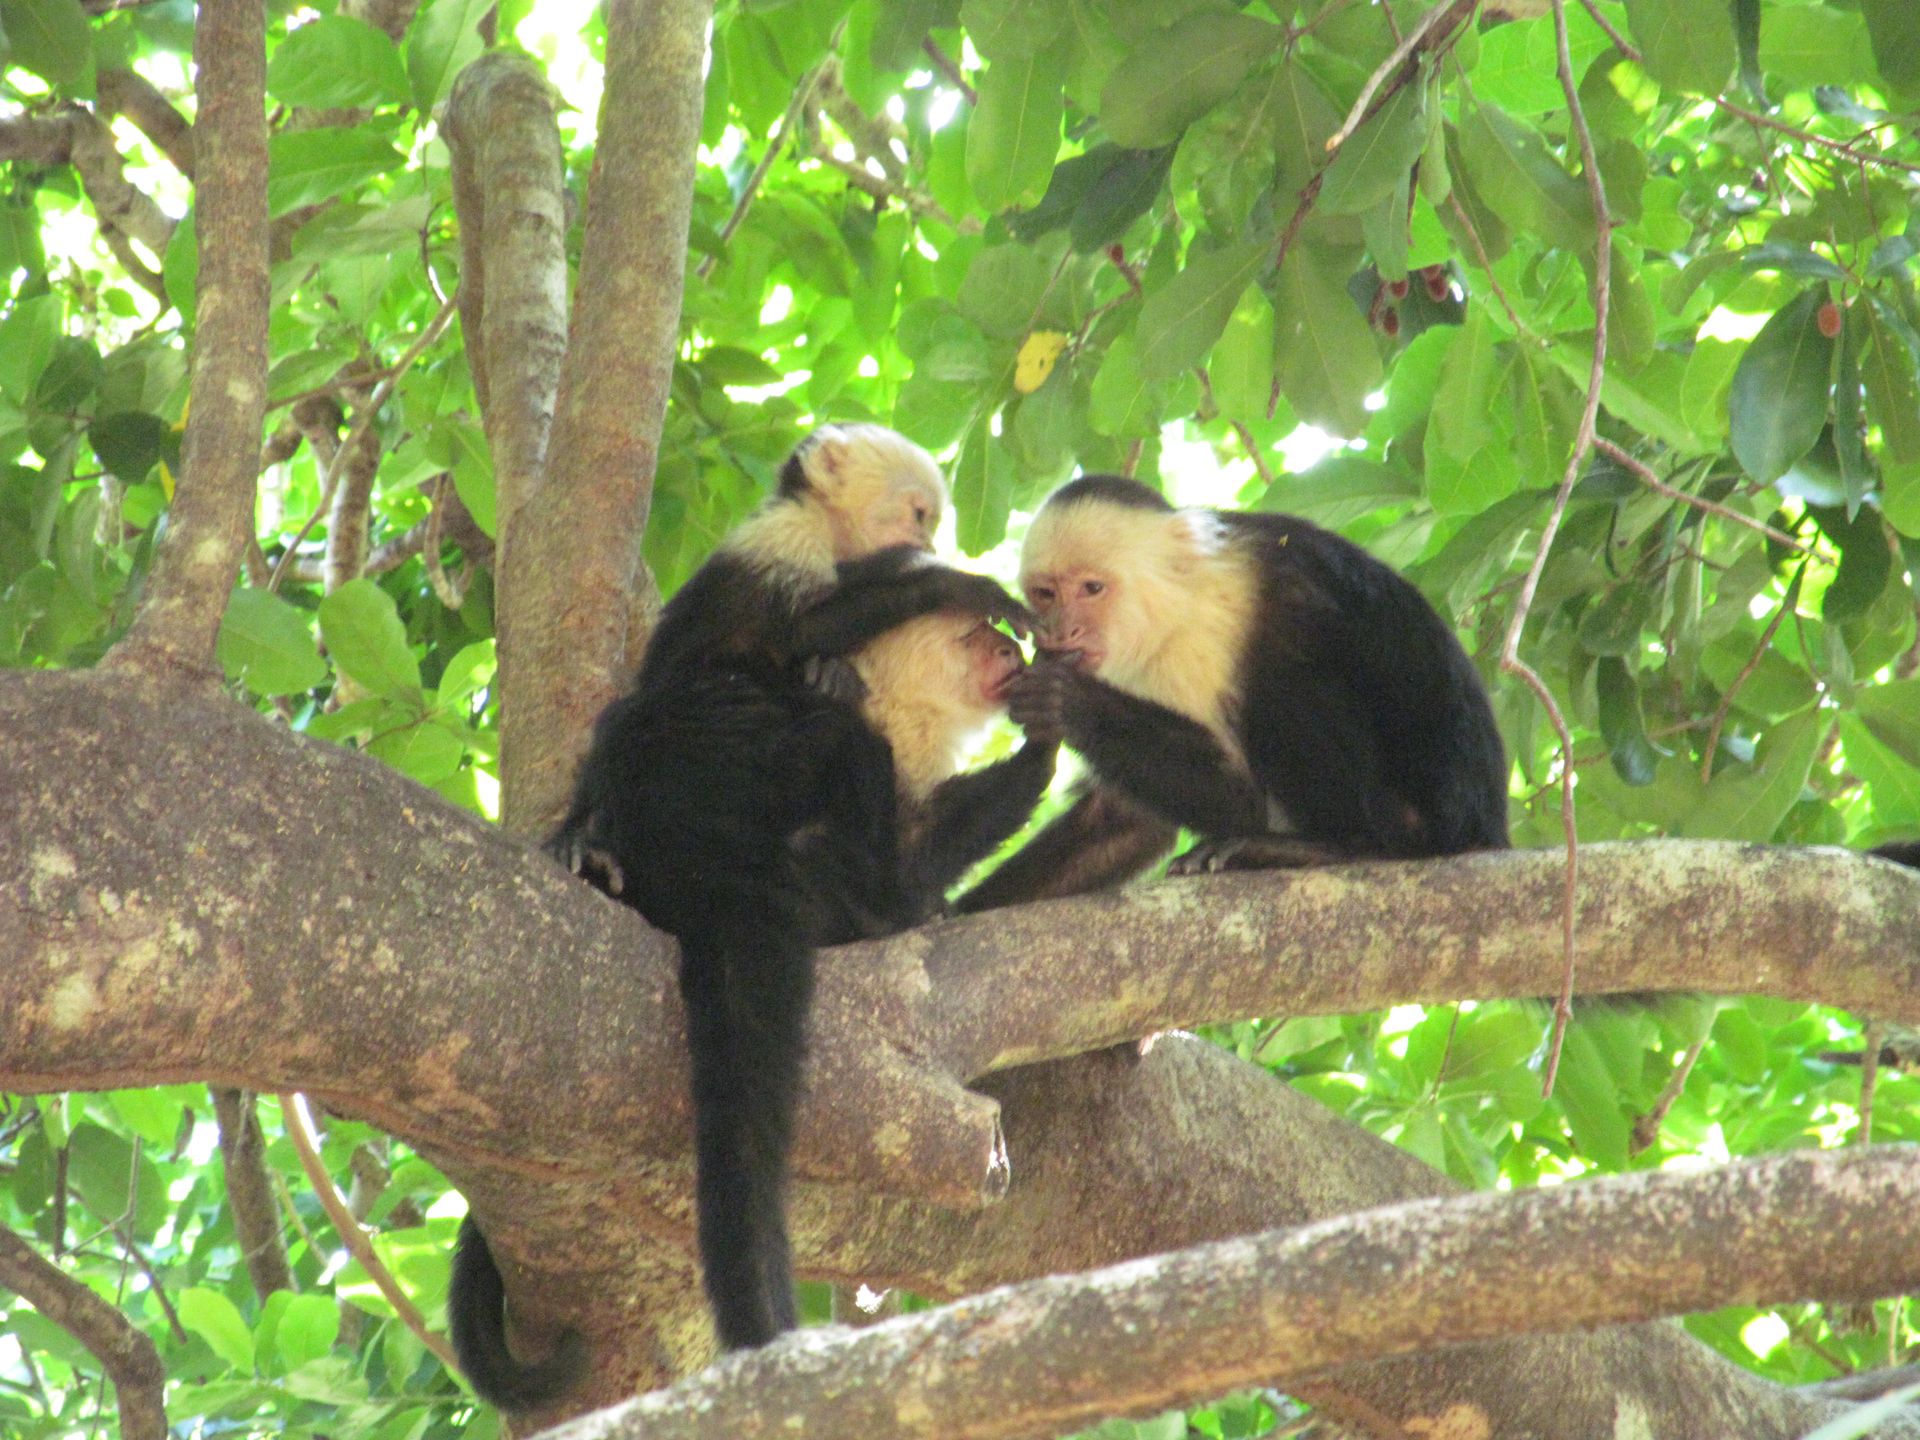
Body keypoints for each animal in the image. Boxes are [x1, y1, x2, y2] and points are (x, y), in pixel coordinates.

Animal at [449, 424, 1039, 1408]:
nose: (930, 539)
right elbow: (804, 631)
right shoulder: (783, 551)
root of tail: (703, 843)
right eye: (918, 513)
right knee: (781, 732)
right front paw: (959, 590)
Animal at [957, 473, 1509, 913]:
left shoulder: (1215, 628)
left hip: (1420, 811)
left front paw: (1065, 700)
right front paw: (954, 912)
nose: (1061, 631)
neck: (1175, 608)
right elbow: (1125, 818)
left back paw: (1341, 847)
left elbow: (1243, 801)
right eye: (1046, 593)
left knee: (1285, 664)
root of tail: (1483, 827)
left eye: (1092, 589)